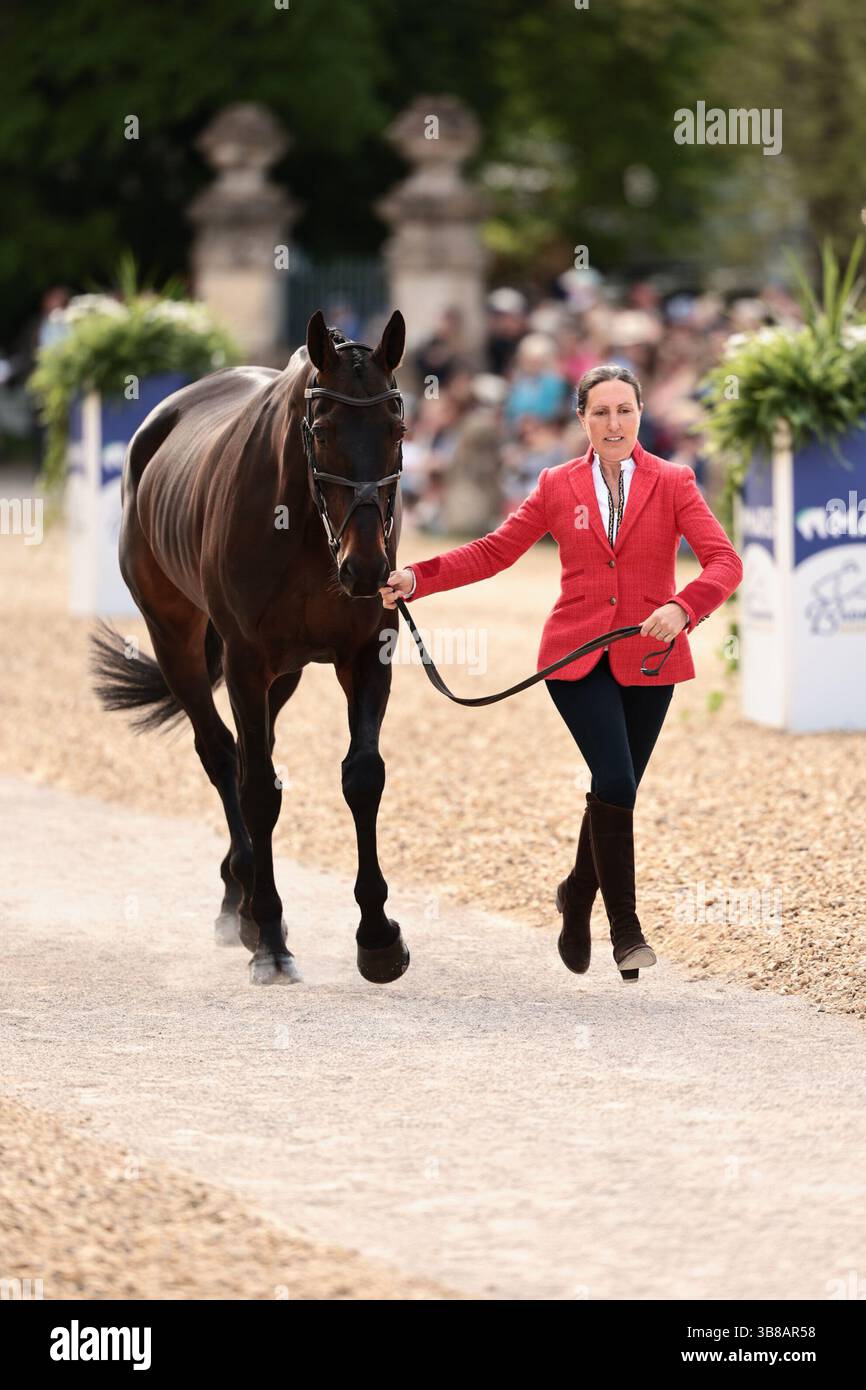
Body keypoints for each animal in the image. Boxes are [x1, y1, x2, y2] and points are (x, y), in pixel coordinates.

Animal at [92, 310, 410, 986]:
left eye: (396, 428)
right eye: (323, 430)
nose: (366, 568)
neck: (308, 529)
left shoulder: (366, 653)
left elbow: (362, 775)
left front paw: (377, 936)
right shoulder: (243, 659)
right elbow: (258, 788)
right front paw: (269, 937)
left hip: (280, 676)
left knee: (244, 752)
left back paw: (235, 891)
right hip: (177, 639)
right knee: (221, 754)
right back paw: (245, 903)